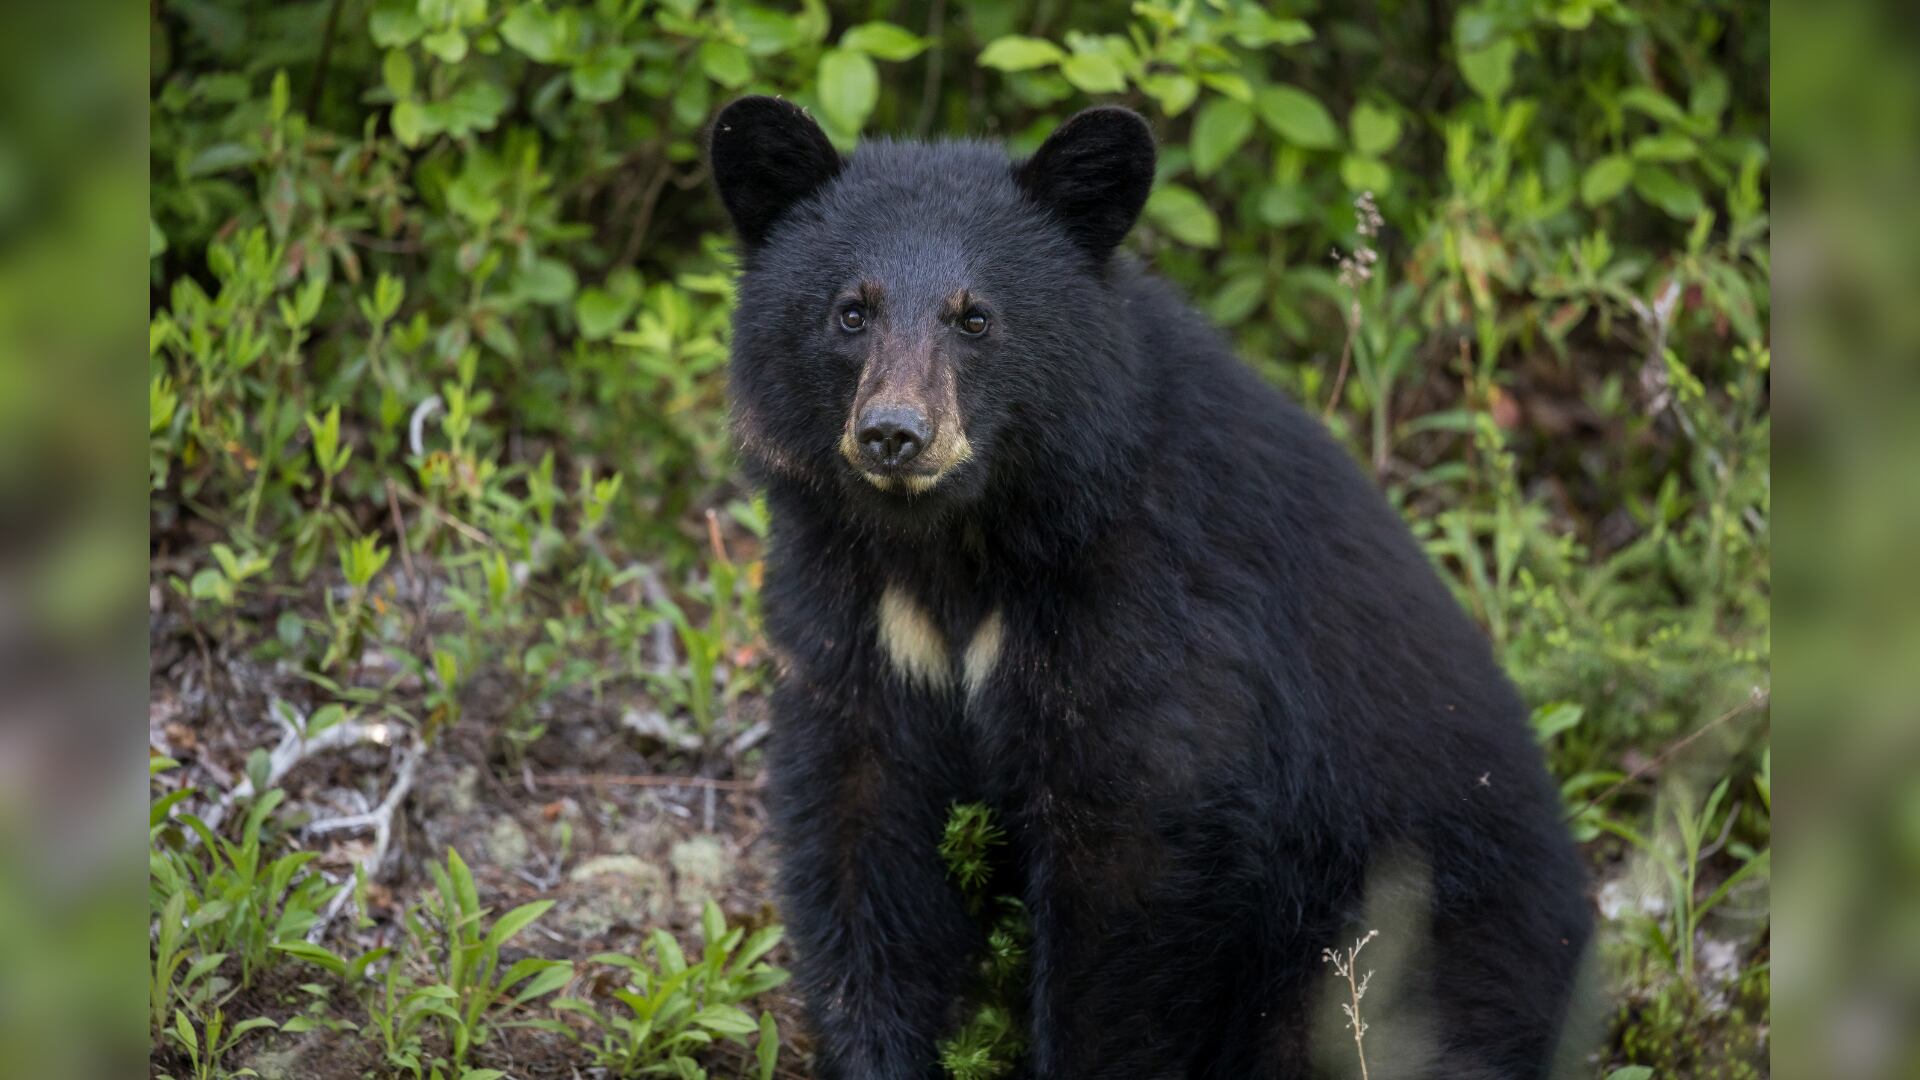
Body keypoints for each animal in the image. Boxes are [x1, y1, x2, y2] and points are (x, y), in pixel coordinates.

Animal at [708, 96, 1593, 1080]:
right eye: (850, 312)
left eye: (975, 319)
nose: (896, 434)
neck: (962, 543)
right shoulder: (854, 607)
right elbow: (859, 829)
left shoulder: (1157, 601)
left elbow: (1131, 867)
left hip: (1411, 932)